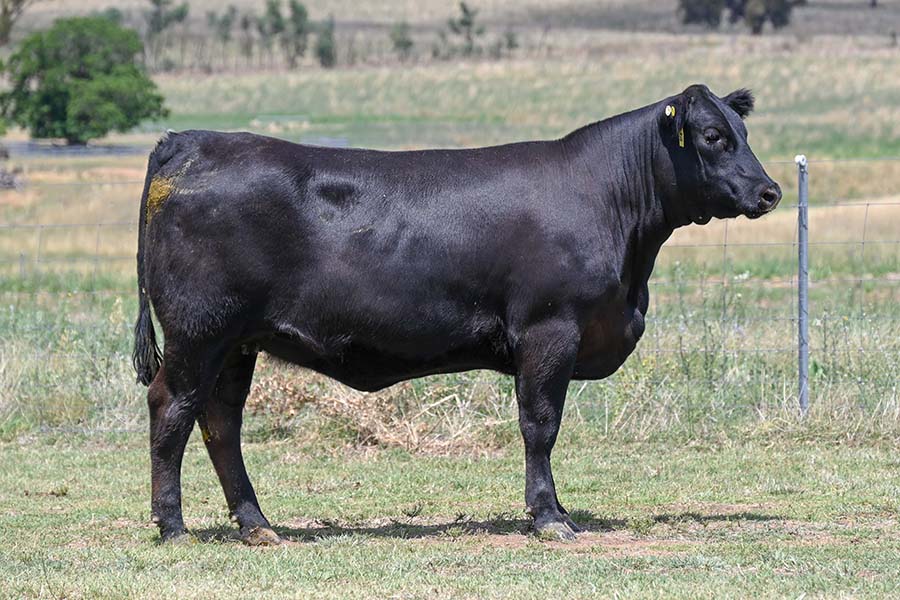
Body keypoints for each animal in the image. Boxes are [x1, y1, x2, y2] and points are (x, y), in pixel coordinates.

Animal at [132, 84, 781, 545]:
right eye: (712, 135)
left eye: (744, 131)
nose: (770, 192)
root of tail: (190, 141)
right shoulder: (548, 331)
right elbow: (540, 425)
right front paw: (549, 517)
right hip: (200, 331)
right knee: (173, 407)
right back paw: (174, 526)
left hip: (236, 342)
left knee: (221, 421)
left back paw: (257, 524)